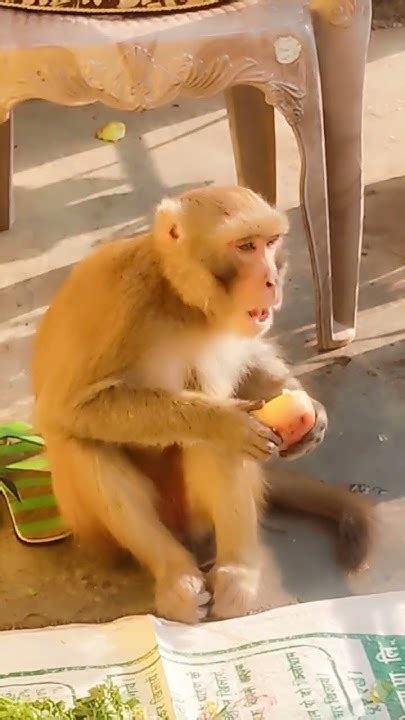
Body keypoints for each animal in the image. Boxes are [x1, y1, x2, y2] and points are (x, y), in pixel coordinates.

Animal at [31, 186, 373, 624]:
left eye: (270, 243)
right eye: (245, 246)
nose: (271, 279)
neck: (181, 303)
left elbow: (250, 358)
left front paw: (311, 411)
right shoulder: (118, 301)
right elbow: (69, 409)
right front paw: (222, 421)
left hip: (194, 516)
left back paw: (239, 571)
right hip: (96, 531)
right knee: (83, 442)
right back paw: (174, 572)